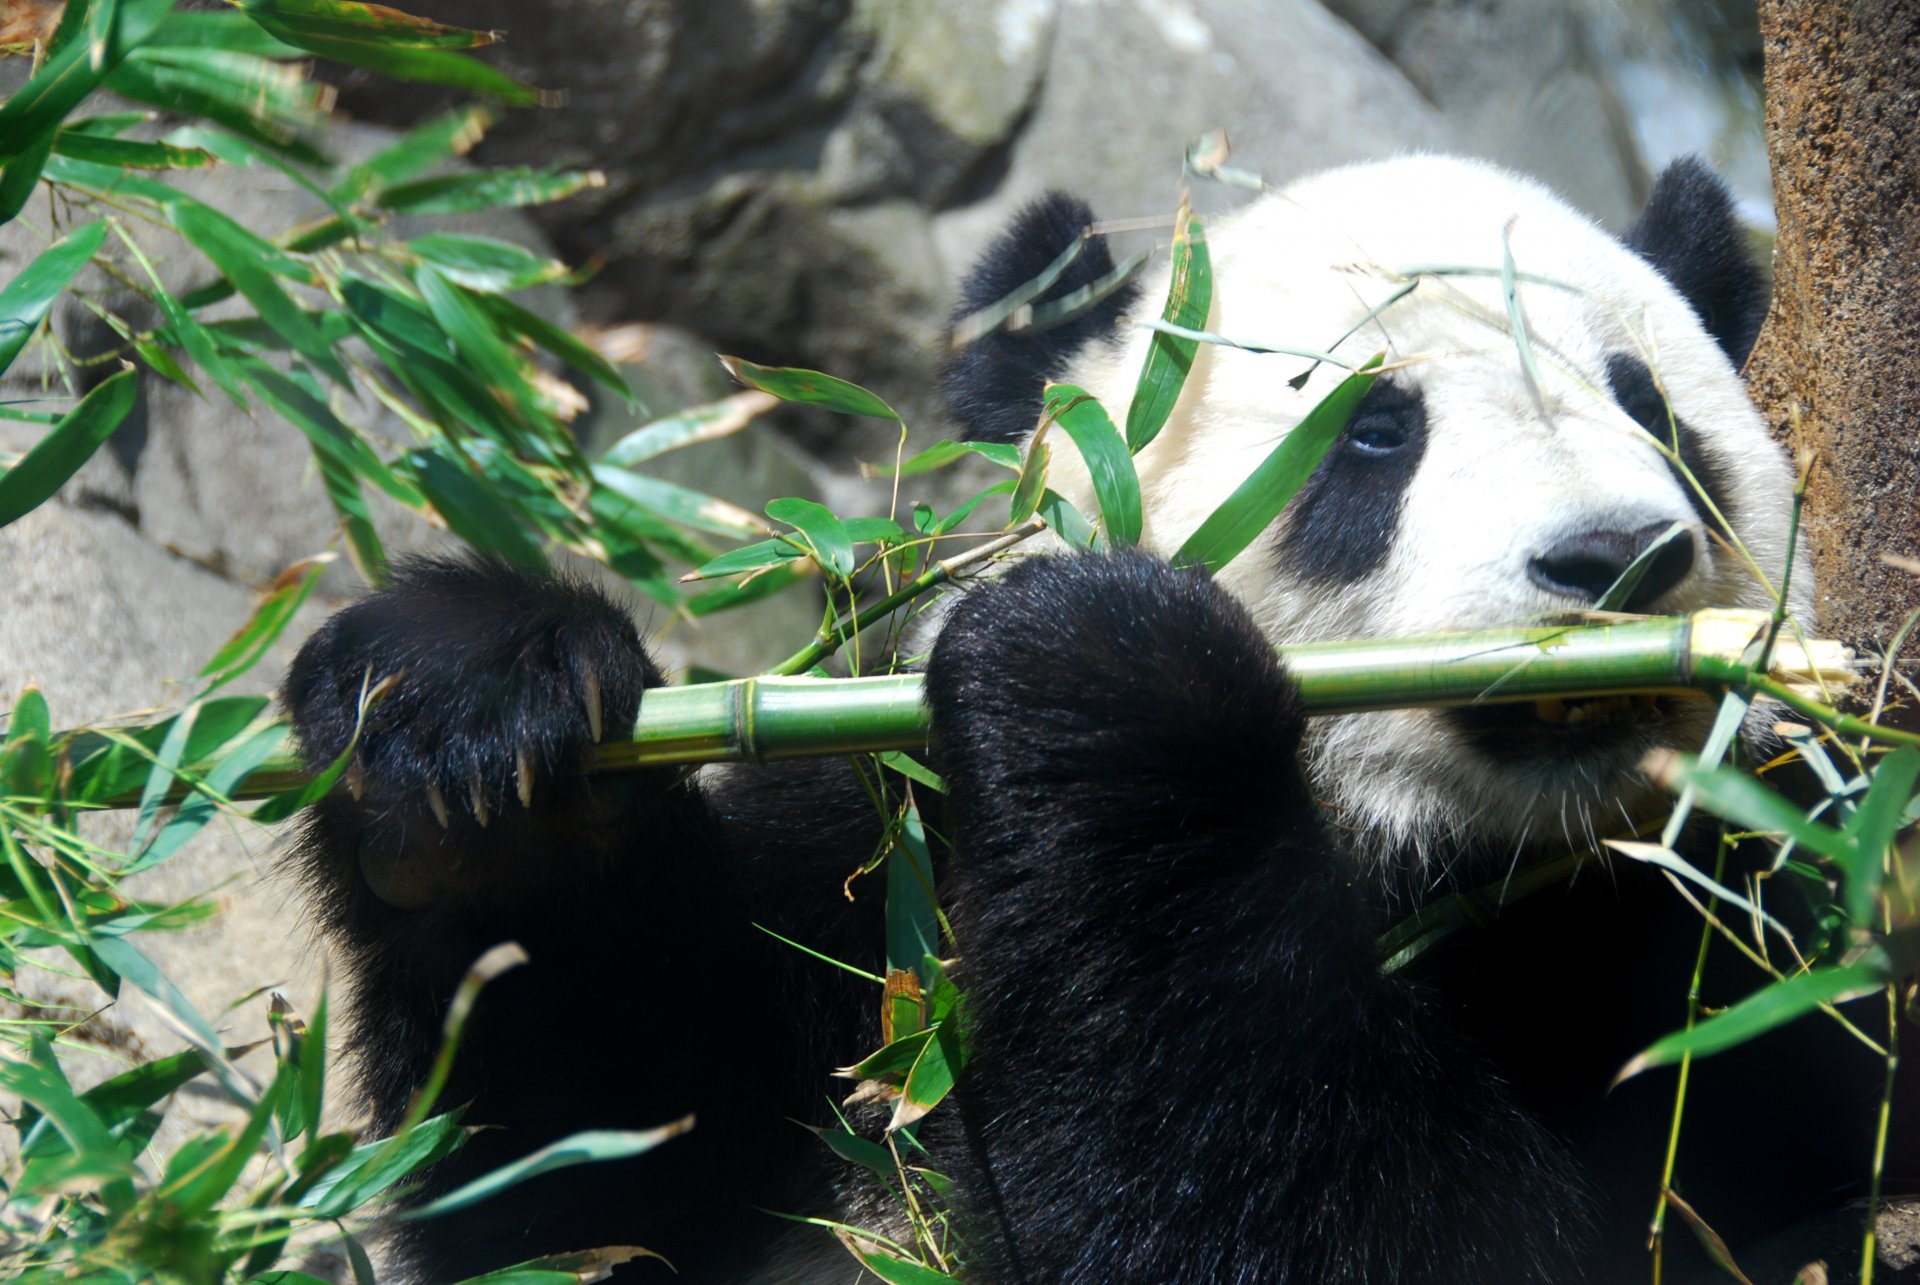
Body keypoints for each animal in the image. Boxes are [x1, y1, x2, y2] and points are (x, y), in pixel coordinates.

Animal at [284, 156, 1899, 1284]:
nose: (1616, 559)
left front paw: (1112, 688)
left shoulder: (1762, 942)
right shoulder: (875, 894)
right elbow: (605, 1181)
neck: (1436, 864)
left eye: (1658, 418)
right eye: (1374, 435)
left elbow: (1396, 1212)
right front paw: (472, 741)